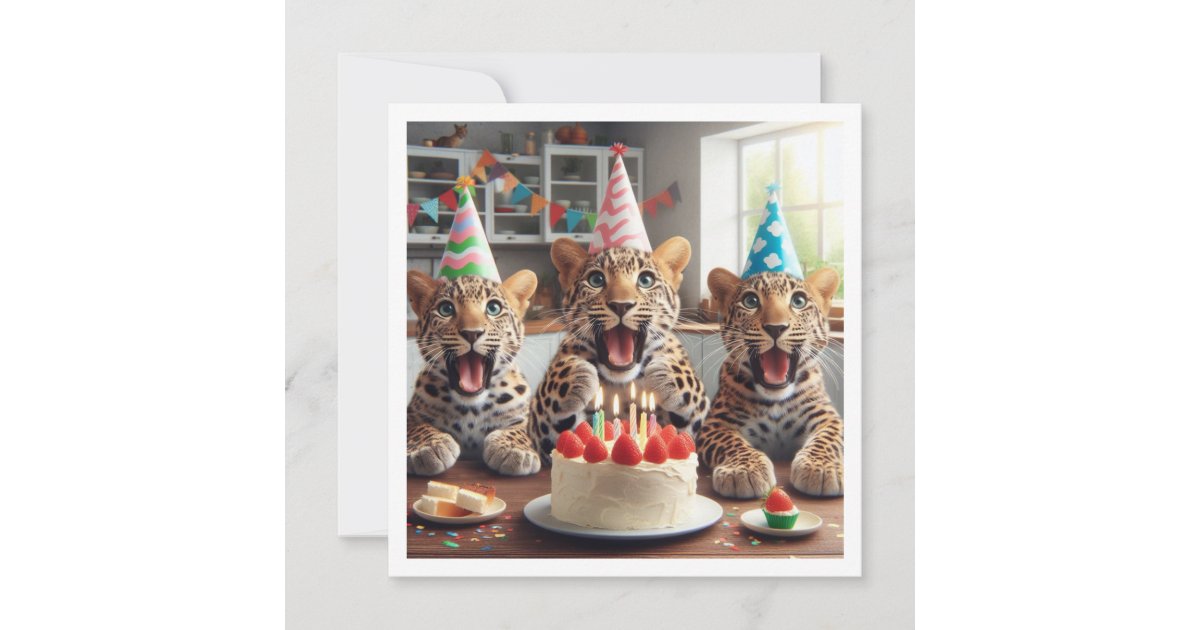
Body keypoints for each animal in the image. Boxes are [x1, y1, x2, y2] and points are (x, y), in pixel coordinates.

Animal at [405, 269, 542, 477]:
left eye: (493, 308)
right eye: (446, 309)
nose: (472, 333)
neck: (471, 408)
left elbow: (524, 427)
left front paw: (514, 449)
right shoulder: (411, 413)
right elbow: (415, 425)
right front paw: (427, 447)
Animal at [529, 236, 709, 459]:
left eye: (646, 280)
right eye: (596, 280)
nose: (621, 305)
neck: (622, 383)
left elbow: (690, 411)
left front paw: (668, 374)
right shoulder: (541, 435)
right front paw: (575, 375)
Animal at [696, 266, 844, 498]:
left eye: (799, 301)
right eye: (750, 301)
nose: (776, 328)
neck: (776, 400)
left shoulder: (828, 417)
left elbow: (827, 438)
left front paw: (821, 467)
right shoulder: (716, 423)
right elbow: (732, 442)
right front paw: (744, 470)